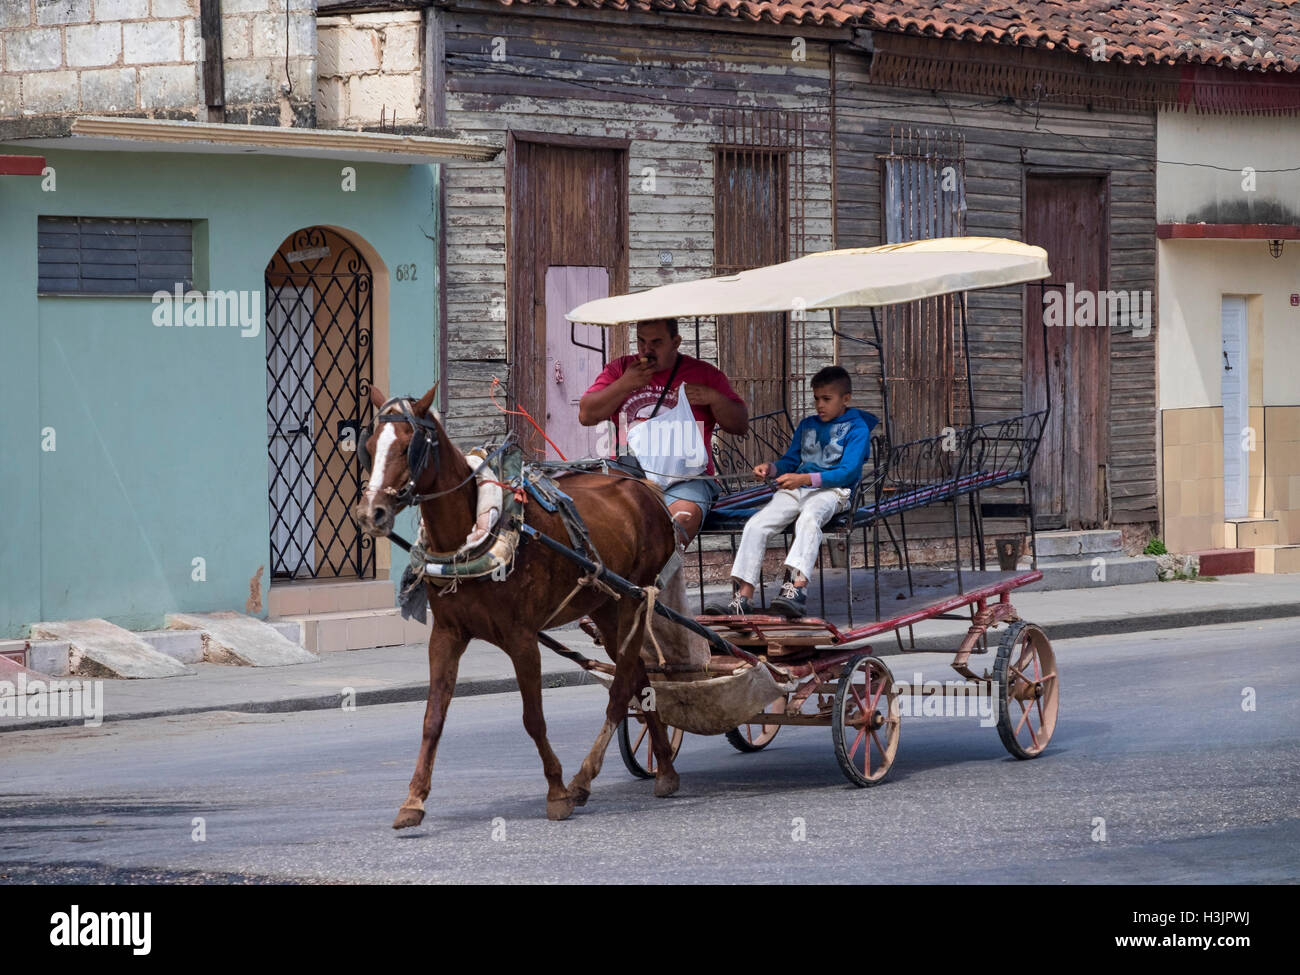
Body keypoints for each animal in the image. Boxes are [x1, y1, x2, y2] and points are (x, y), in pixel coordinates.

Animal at [351, 384, 707, 826]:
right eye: (368, 447)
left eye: (407, 446)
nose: (372, 513)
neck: (474, 535)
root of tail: (644, 488)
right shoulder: (447, 635)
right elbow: (432, 718)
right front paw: (413, 800)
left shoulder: (522, 638)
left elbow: (533, 718)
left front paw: (556, 792)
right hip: (606, 608)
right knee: (640, 678)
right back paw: (665, 769)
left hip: (634, 598)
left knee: (623, 685)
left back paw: (585, 778)